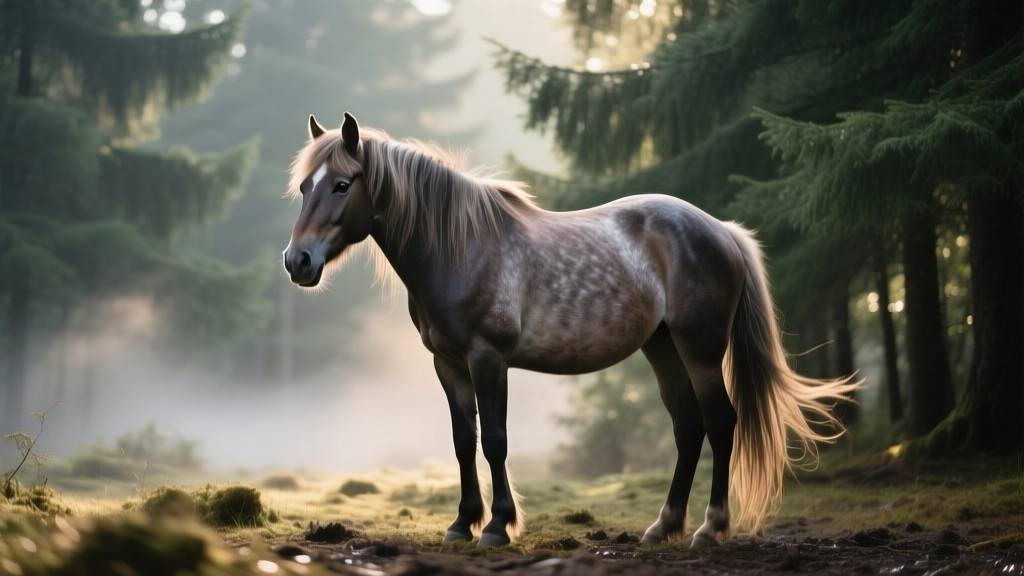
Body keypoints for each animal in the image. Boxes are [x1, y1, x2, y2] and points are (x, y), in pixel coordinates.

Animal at [282, 112, 860, 548]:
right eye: (305, 186)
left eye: (342, 184)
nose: (297, 261)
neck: (460, 247)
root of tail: (721, 229)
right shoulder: (447, 363)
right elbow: (463, 442)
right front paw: (461, 524)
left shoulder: (488, 358)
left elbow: (495, 441)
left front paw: (497, 526)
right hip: (662, 347)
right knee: (688, 426)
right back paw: (664, 526)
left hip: (699, 347)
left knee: (720, 422)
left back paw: (709, 529)